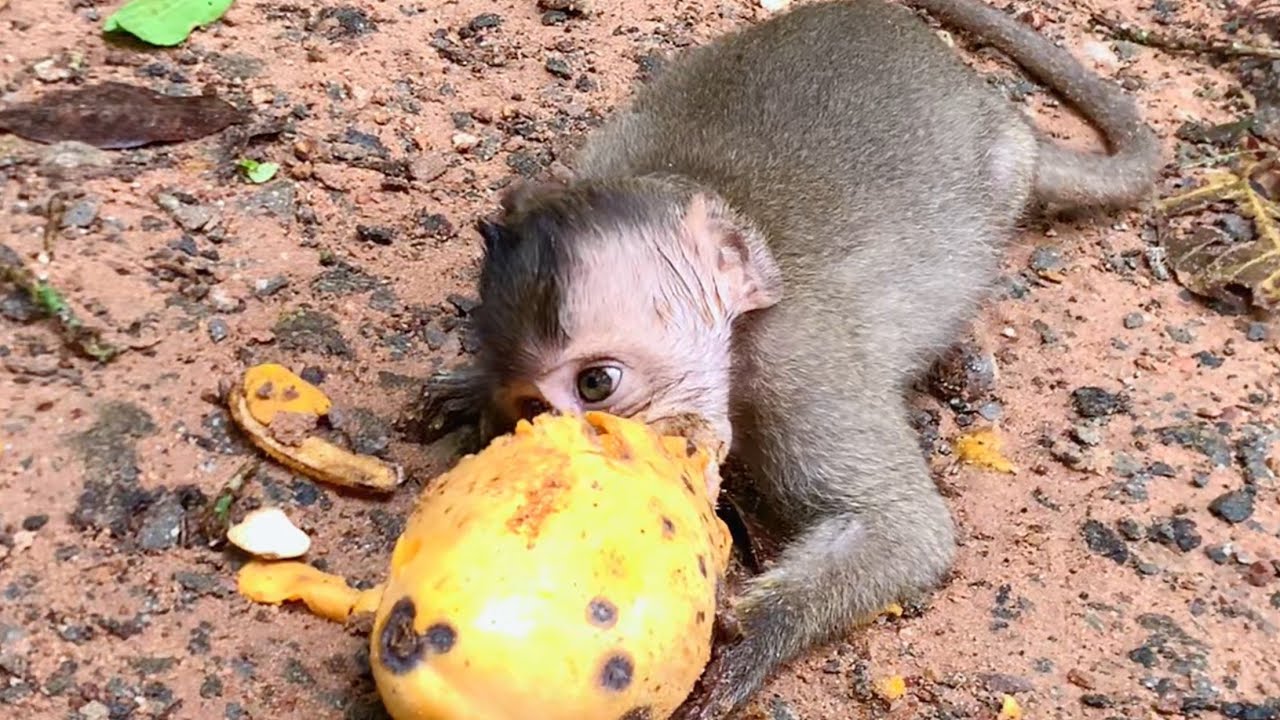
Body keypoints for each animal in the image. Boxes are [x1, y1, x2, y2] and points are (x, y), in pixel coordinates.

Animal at [416, 0, 1162, 716]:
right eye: (531, 405)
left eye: (597, 384)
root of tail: (993, 105)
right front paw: (469, 387)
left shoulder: (796, 368)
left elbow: (906, 529)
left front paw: (746, 636)